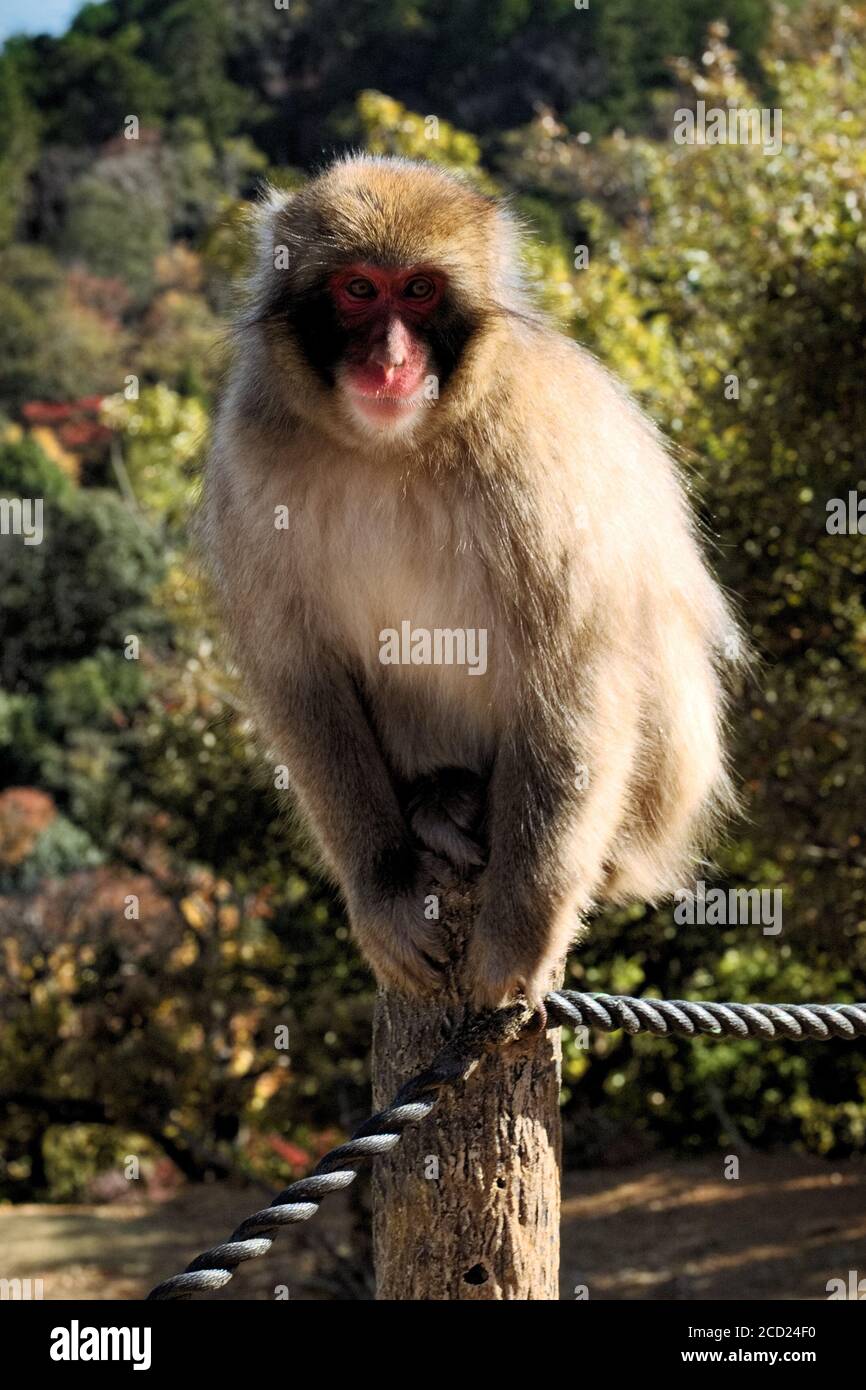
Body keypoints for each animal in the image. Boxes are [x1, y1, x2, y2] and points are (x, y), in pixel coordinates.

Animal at [201, 154, 741, 1011]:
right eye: (360, 289)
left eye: (420, 290)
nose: (391, 359)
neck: (393, 445)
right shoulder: (248, 453)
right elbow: (301, 678)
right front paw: (384, 893)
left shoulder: (537, 456)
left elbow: (573, 673)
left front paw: (522, 931)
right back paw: (439, 807)